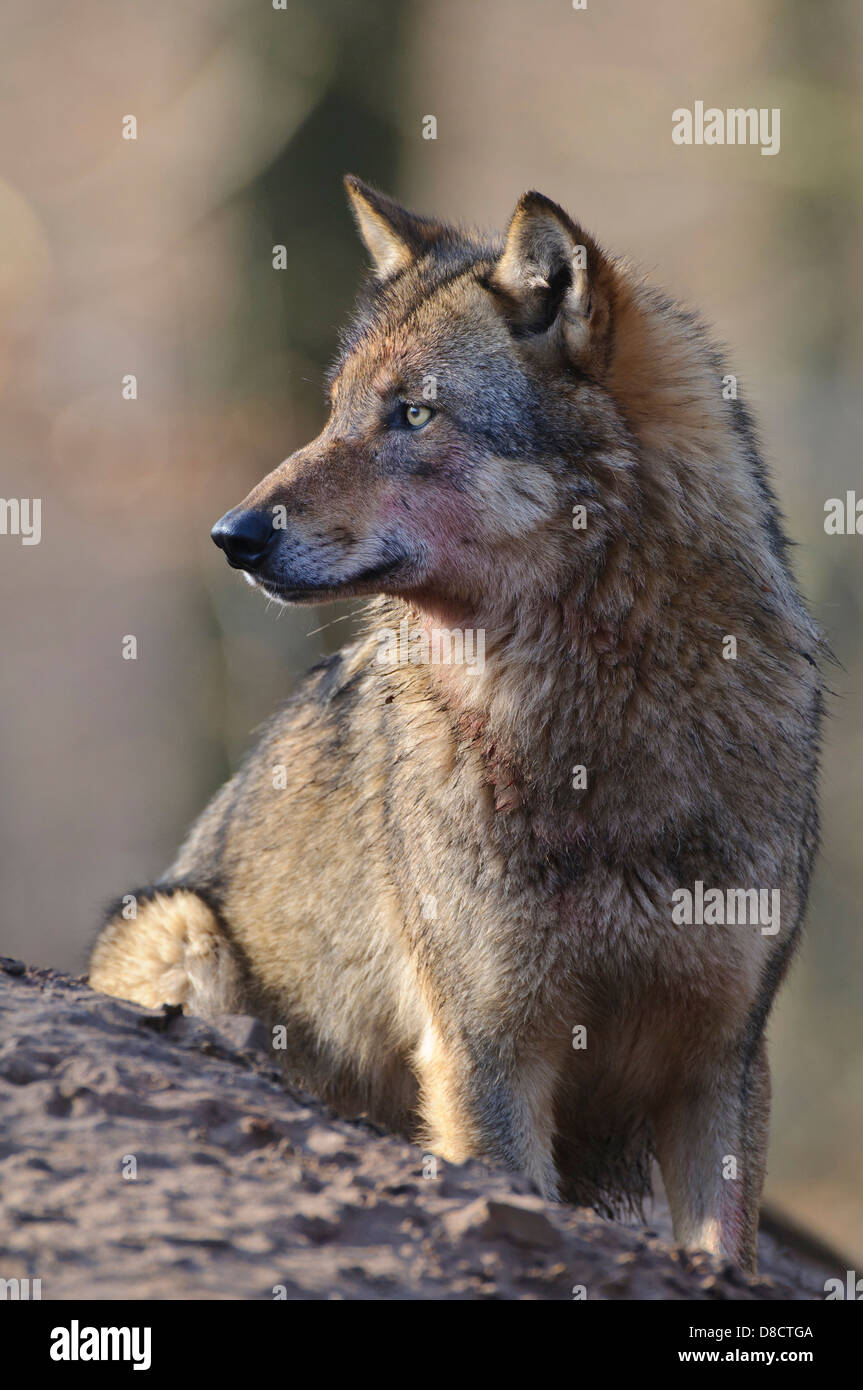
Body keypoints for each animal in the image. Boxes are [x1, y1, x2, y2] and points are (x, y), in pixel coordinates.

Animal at [89, 176, 823, 1271]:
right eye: (336, 413)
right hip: (176, 927)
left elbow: (719, 1247)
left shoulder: (720, 1059)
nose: (231, 535)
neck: (591, 725)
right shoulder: (486, 1046)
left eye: (414, 413)